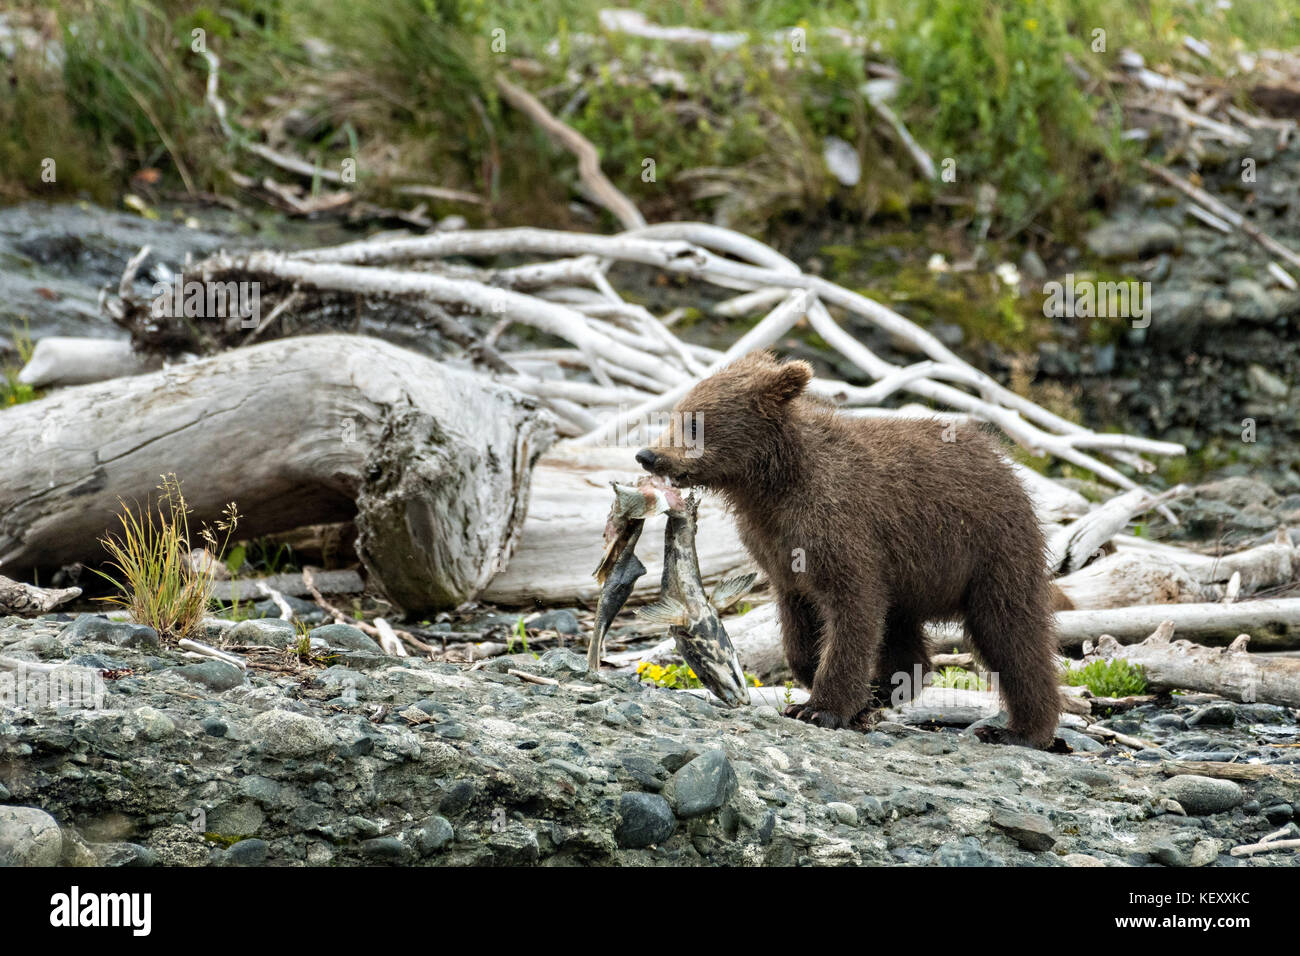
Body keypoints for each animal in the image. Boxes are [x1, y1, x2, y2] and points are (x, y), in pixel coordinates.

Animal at [635, 350, 1061, 748]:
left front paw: (819, 708)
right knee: (903, 630)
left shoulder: (841, 526)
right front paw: (816, 679)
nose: (648, 455)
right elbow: (799, 618)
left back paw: (1020, 729)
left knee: (1010, 633)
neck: (771, 485)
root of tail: (1006, 463)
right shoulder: (777, 547)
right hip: (912, 575)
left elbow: (851, 608)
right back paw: (887, 687)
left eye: (695, 423)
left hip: (991, 551)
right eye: (677, 414)